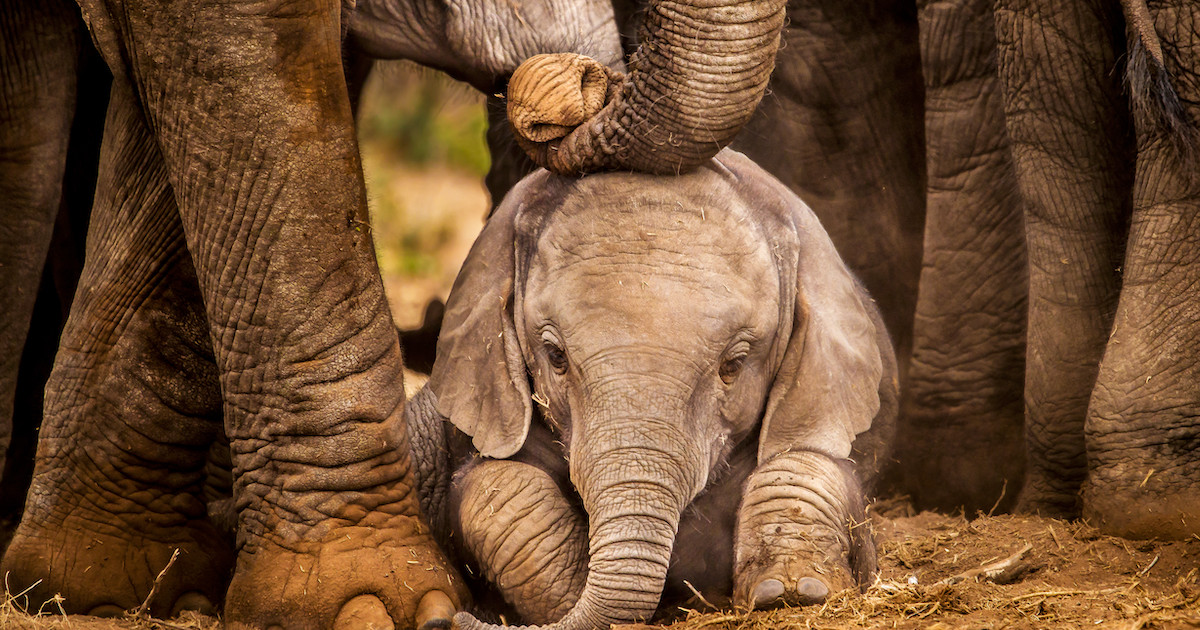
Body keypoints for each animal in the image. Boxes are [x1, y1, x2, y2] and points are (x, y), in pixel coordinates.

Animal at [402, 148, 897, 630]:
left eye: (734, 365)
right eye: (555, 356)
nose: (445, 621)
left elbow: (806, 462)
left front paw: (791, 592)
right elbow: (498, 485)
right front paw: (569, 593)